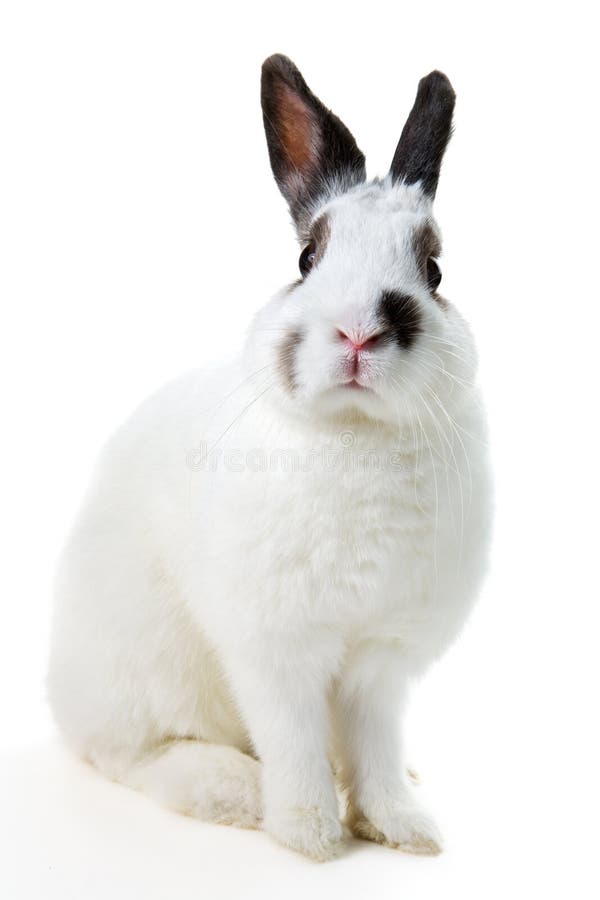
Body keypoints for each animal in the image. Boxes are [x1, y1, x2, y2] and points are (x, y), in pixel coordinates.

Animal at [47, 53, 492, 862]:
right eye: (307, 257)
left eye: (435, 270)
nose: (357, 332)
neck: (354, 435)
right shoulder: (275, 653)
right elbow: (292, 742)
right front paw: (310, 834)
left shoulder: (380, 662)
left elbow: (375, 748)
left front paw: (403, 827)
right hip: (145, 674)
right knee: (139, 756)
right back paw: (232, 789)